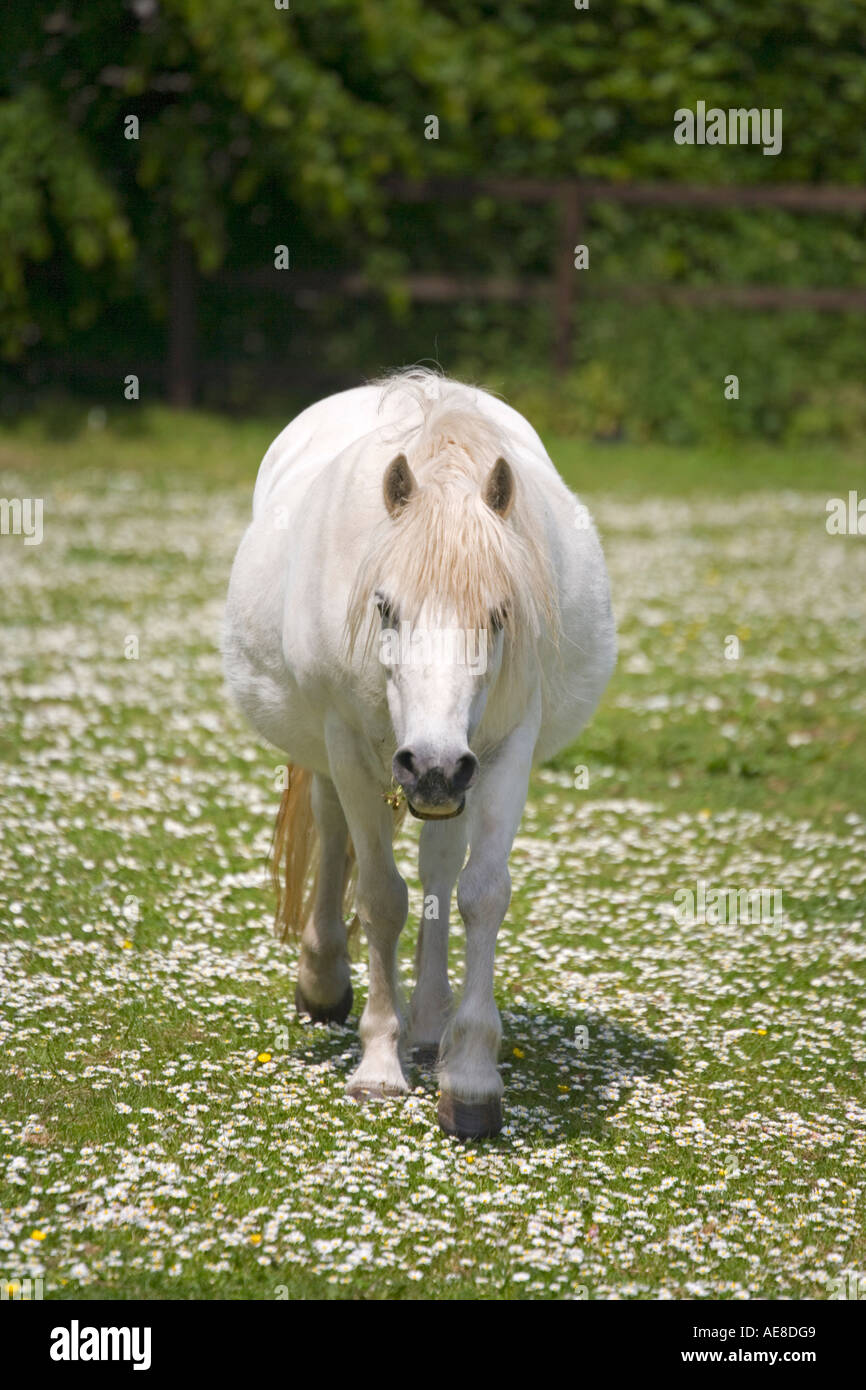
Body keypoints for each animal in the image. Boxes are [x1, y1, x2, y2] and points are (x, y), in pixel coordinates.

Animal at [224, 369, 616, 1139]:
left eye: (498, 615)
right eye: (385, 608)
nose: (431, 764)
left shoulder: (503, 751)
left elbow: (480, 893)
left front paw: (471, 1077)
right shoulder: (348, 744)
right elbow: (380, 897)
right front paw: (379, 1064)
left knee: (440, 868)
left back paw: (432, 1024)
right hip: (344, 757)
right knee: (335, 835)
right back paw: (325, 981)